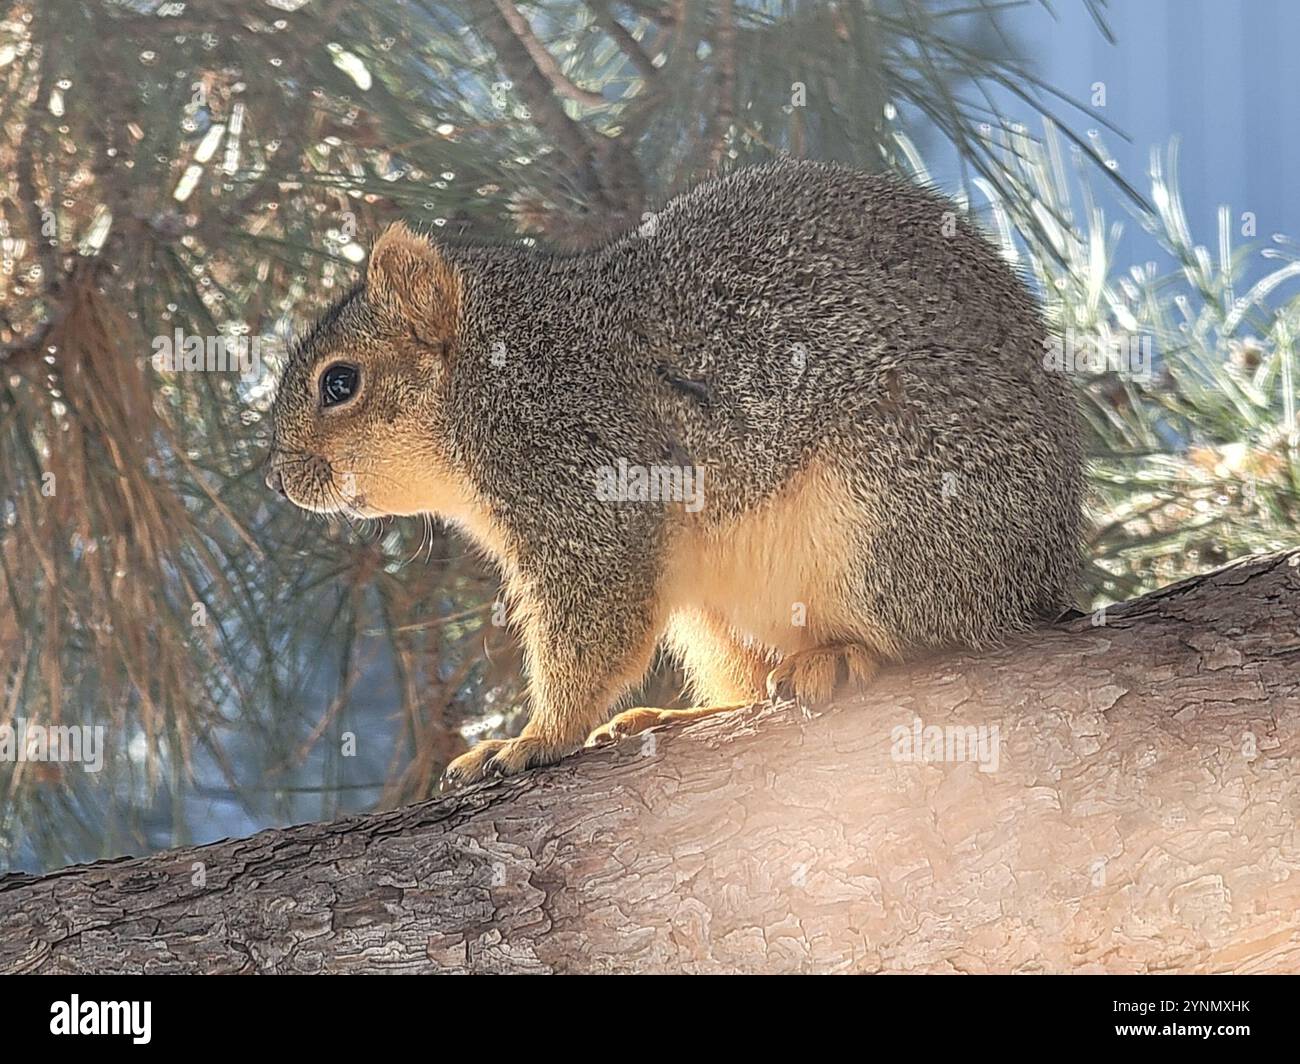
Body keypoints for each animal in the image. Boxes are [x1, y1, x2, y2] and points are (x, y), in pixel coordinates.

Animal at [266, 158, 1083, 786]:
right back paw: (675, 715)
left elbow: (593, 629)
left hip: (892, 517)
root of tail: (1042, 578)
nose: (278, 481)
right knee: (745, 684)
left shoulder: (589, 482)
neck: (501, 373)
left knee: (929, 632)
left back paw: (842, 656)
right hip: (715, 618)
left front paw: (531, 739)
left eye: (340, 383)